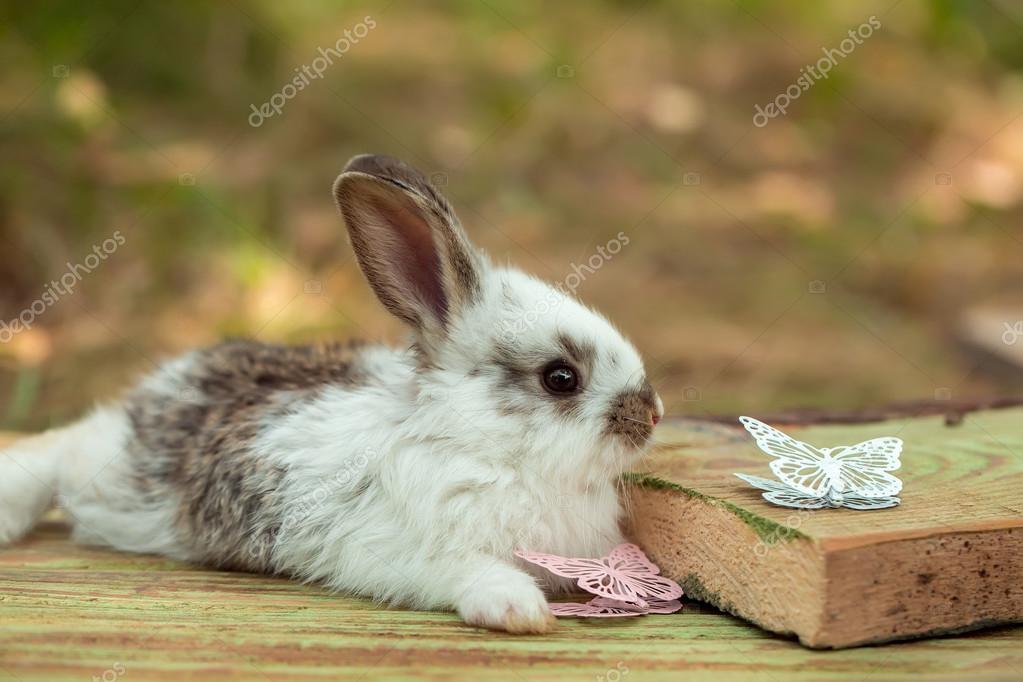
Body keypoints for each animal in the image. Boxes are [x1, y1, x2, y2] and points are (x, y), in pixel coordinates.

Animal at [0, 154, 663, 633]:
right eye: (560, 377)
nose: (652, 412)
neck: (486, 448)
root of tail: (167, 380)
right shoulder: (408, 550)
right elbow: (467, 571)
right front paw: (519, 612)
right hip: (109, 474)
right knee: (57, 451)